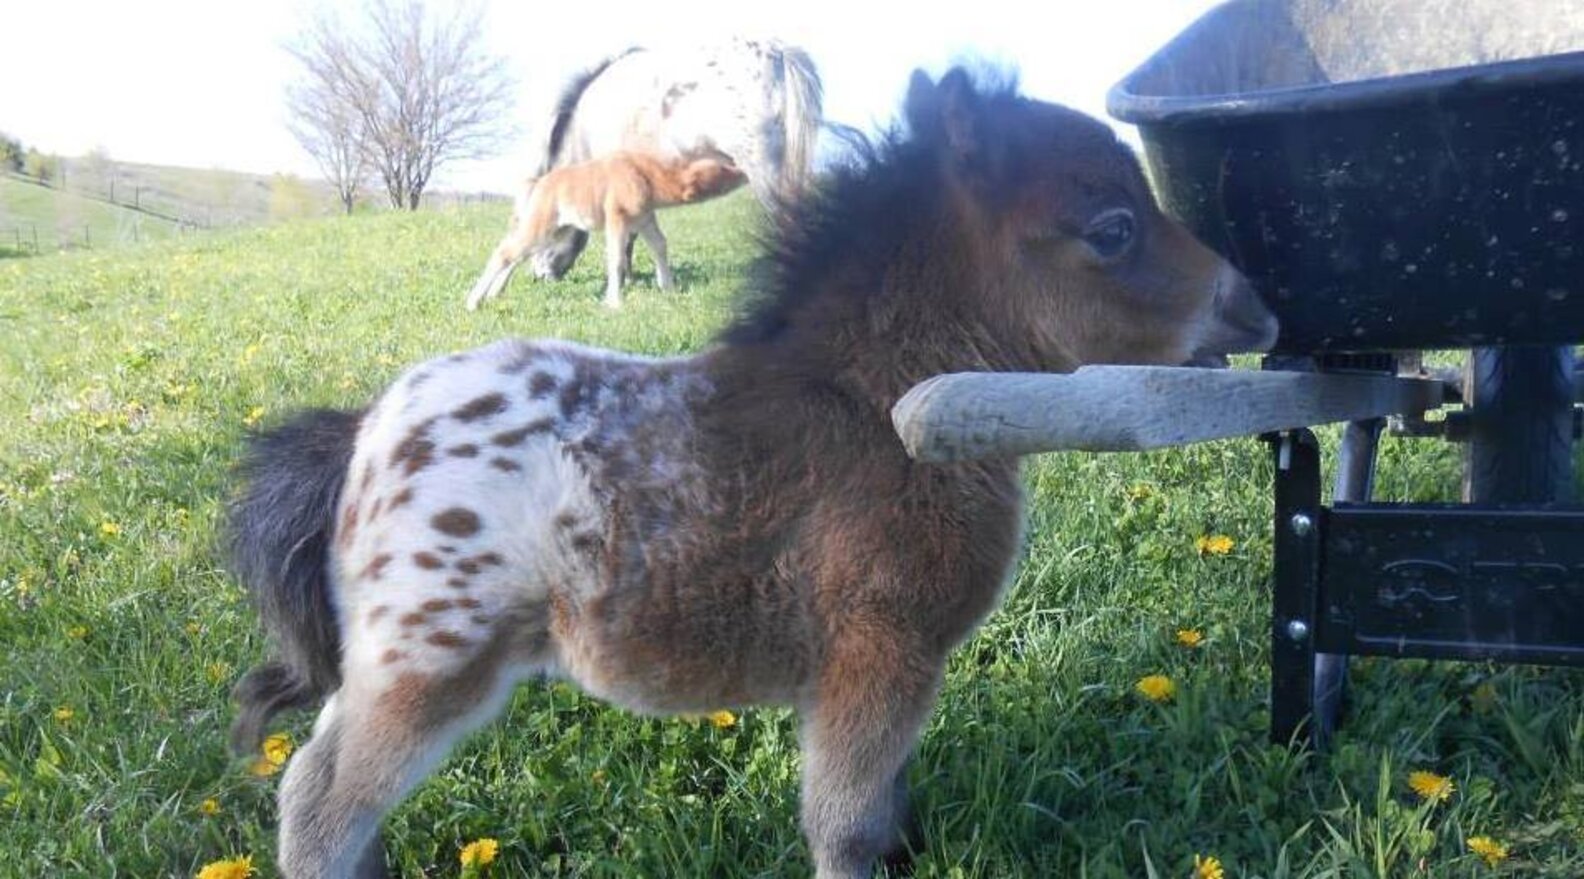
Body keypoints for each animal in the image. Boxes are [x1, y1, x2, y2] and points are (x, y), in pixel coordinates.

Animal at [465, 153, 745, 310]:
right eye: (722, 169)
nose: (742, 171)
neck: (645, 174)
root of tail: (539, 183)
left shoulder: (645, 220)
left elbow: (660, 245)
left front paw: (669, 289)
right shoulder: (617, 220)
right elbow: (617, 259)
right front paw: (614, 303)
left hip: (555, 231)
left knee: (517, 255)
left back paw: (494, 294)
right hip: (540, 227)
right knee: (505, 253)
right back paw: (473, 302)